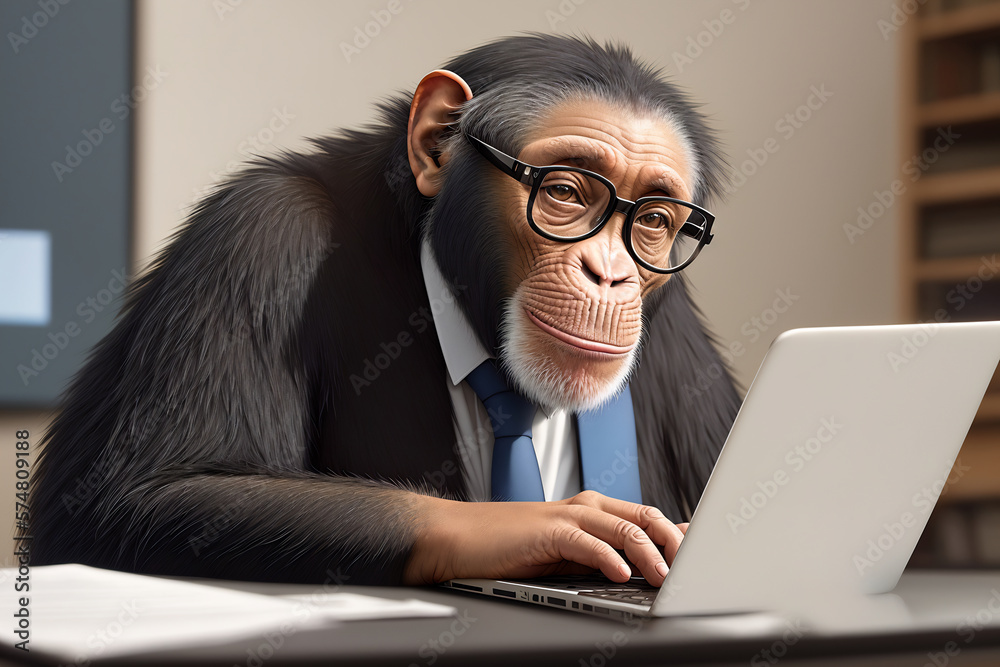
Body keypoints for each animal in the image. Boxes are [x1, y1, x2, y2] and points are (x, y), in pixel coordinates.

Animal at [26, 34, 741, 587]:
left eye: (654, 221)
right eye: (567, 191)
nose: (611, 275)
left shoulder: (676, 333)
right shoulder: (258, 238)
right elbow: (145, 493)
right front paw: (534, 523)